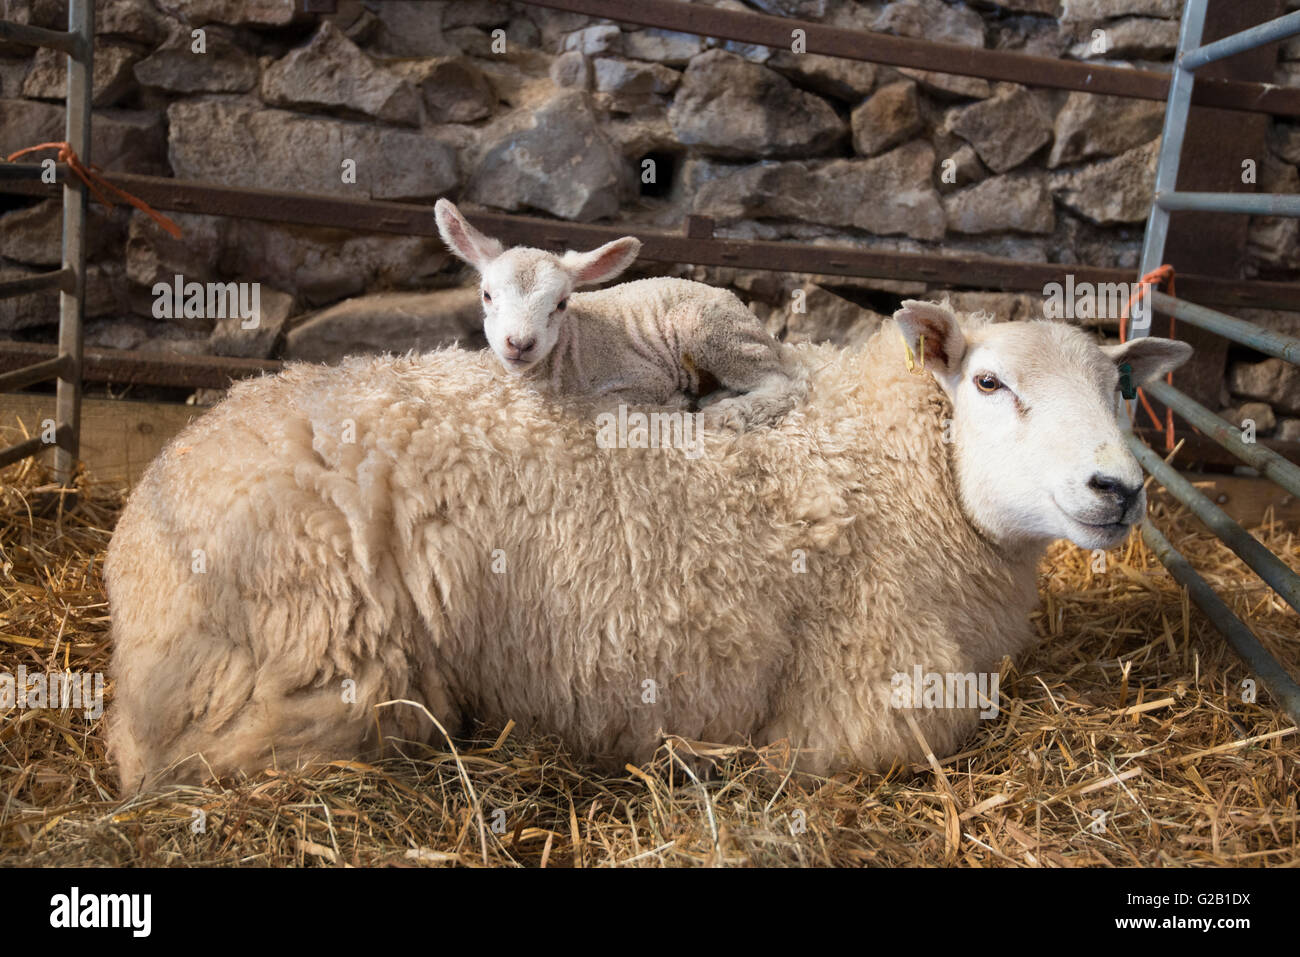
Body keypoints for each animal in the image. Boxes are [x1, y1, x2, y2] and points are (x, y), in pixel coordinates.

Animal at [433, 199, 803, 430]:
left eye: (561, 304)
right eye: (486, 295)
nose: (520, 343)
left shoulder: (643, 377)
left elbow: (615, 404)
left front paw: (676, 403)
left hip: (715, 333)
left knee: (782, 385)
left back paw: (727, 412)